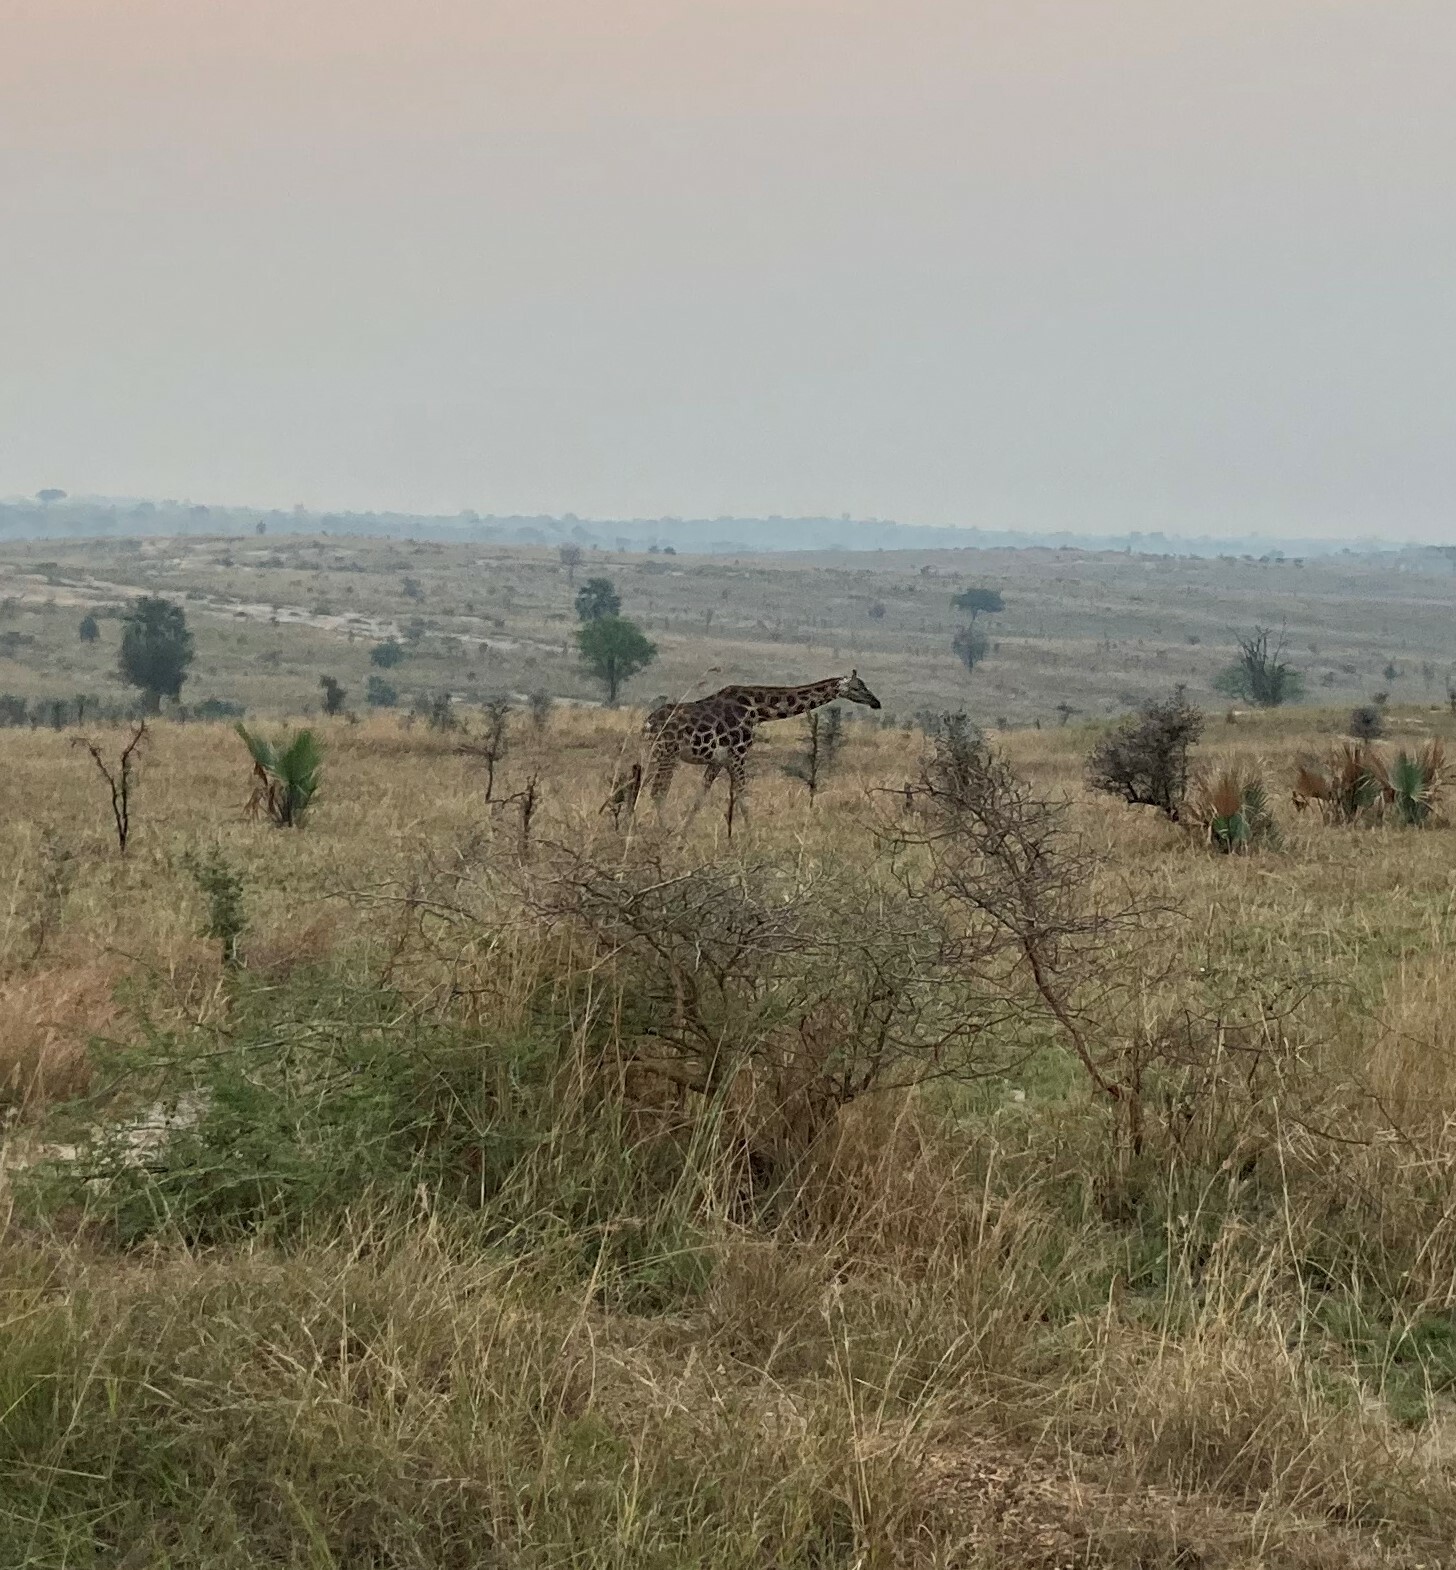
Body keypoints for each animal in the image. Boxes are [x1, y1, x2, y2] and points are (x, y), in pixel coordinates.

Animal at [643, 671, 882, 816]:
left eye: (864, 685)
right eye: (858, 687)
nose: (876, 702)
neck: (757, 710)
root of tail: (648, 723)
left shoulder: (719, 760)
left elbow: (700, 798)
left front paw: (682, 835)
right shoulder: (739, 754)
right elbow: (742, 796)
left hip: (653, 753)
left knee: (641, 784)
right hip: (668, 753)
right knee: (658, 792)